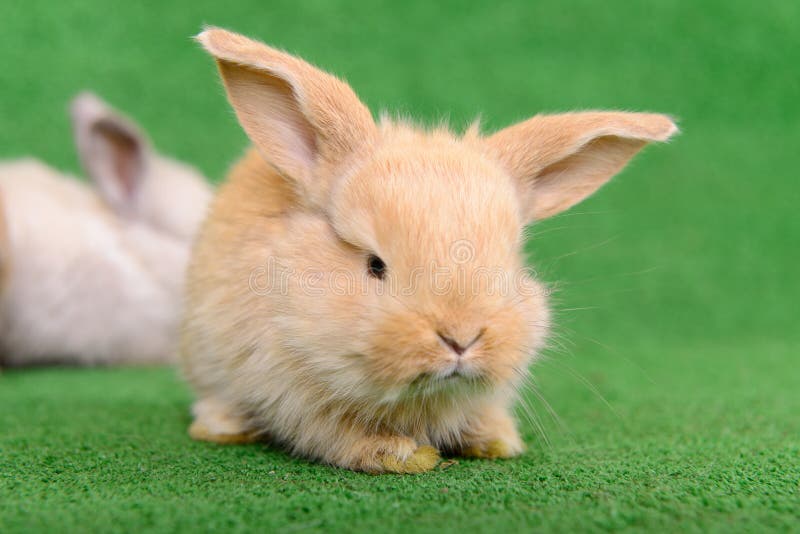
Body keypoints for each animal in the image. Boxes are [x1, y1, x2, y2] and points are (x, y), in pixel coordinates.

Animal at [180, 27, 678, 473]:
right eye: (375, 265)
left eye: (509, 265)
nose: (461, 338)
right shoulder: (295, 397)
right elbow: (341, 436)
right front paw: (406, 456)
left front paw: (497, 441)